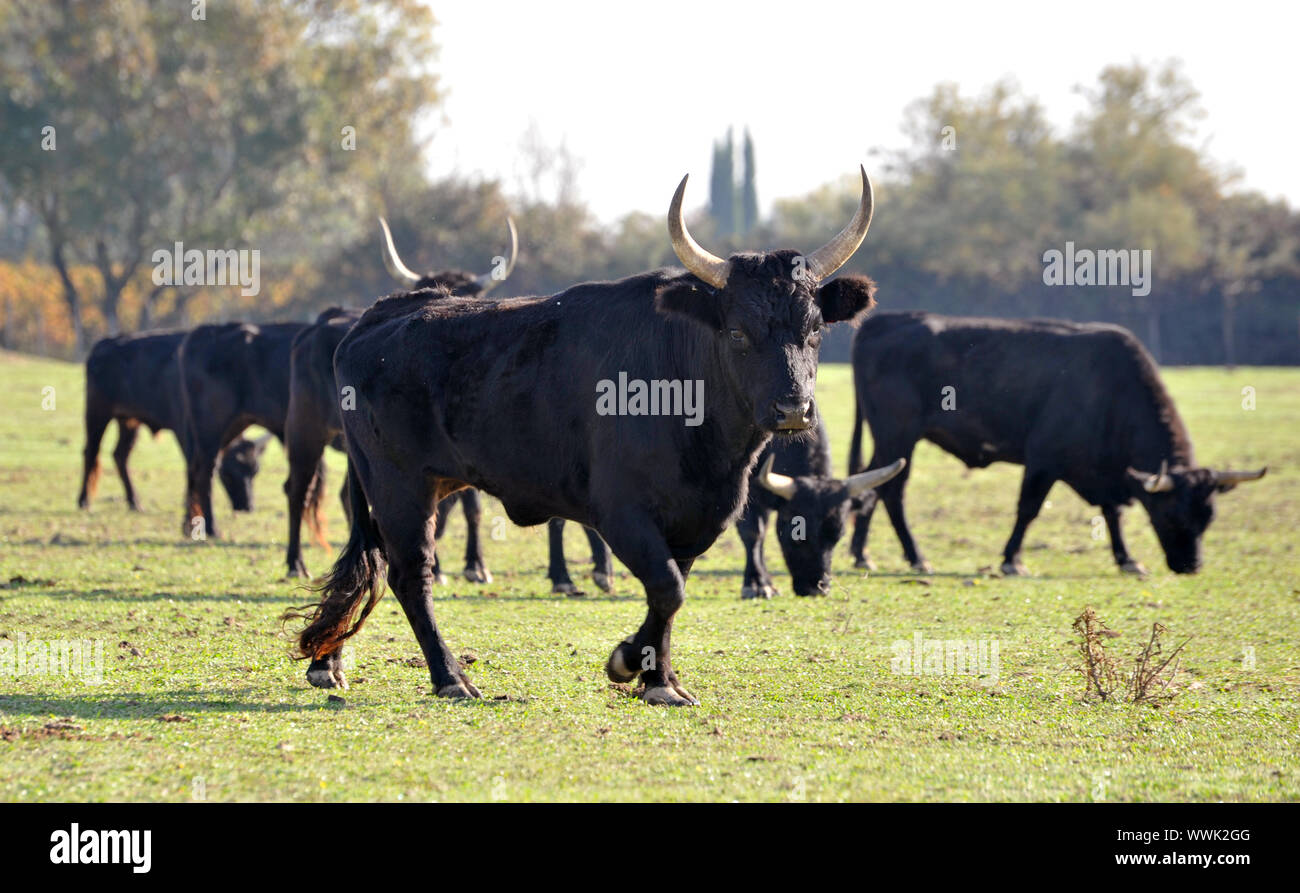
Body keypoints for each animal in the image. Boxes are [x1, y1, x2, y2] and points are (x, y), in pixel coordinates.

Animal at [78, 330, 268, 513]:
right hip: (96, 414)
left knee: (120, 455)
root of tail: (105, 343)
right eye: (228, 474)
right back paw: (84, 501)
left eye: (255, 471)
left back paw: (134, 502)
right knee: (91, 451)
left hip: (129, 421)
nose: (247, 507)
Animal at [177, 321, 310, 539]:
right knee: (204, 472)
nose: (247, 507)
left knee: (193, 469)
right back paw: (211, 527)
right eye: (229, 476)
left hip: (228, 427)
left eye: (255, 471)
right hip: (210, 430)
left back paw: (190, 525)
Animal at [281, 216, 520, 579]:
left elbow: (470, 507)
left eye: (470, 297)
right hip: (304, 431)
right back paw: (295, 562)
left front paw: (474, 564)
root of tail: (319, 324)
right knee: (298, 491)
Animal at [738, 415, 903, 599]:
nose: (817, 589)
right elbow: (753, 532)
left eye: (838, 536)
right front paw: (756, 584)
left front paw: (766, 582)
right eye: (796, 537)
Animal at [846, 312, 1267, 576]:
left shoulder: (1104, 472)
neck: (1113, 389)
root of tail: (882, 322)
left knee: (871, 484)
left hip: (888, 440)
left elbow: (1113, 514)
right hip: (899, 435)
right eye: (1171, 517)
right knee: (891, 491)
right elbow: (1028, 509)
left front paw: (1126, 559)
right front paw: (1011, 560)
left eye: (1208, 518)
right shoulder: (1043, 459)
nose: (1191, 566)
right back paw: (915, 557)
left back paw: (862, 553)